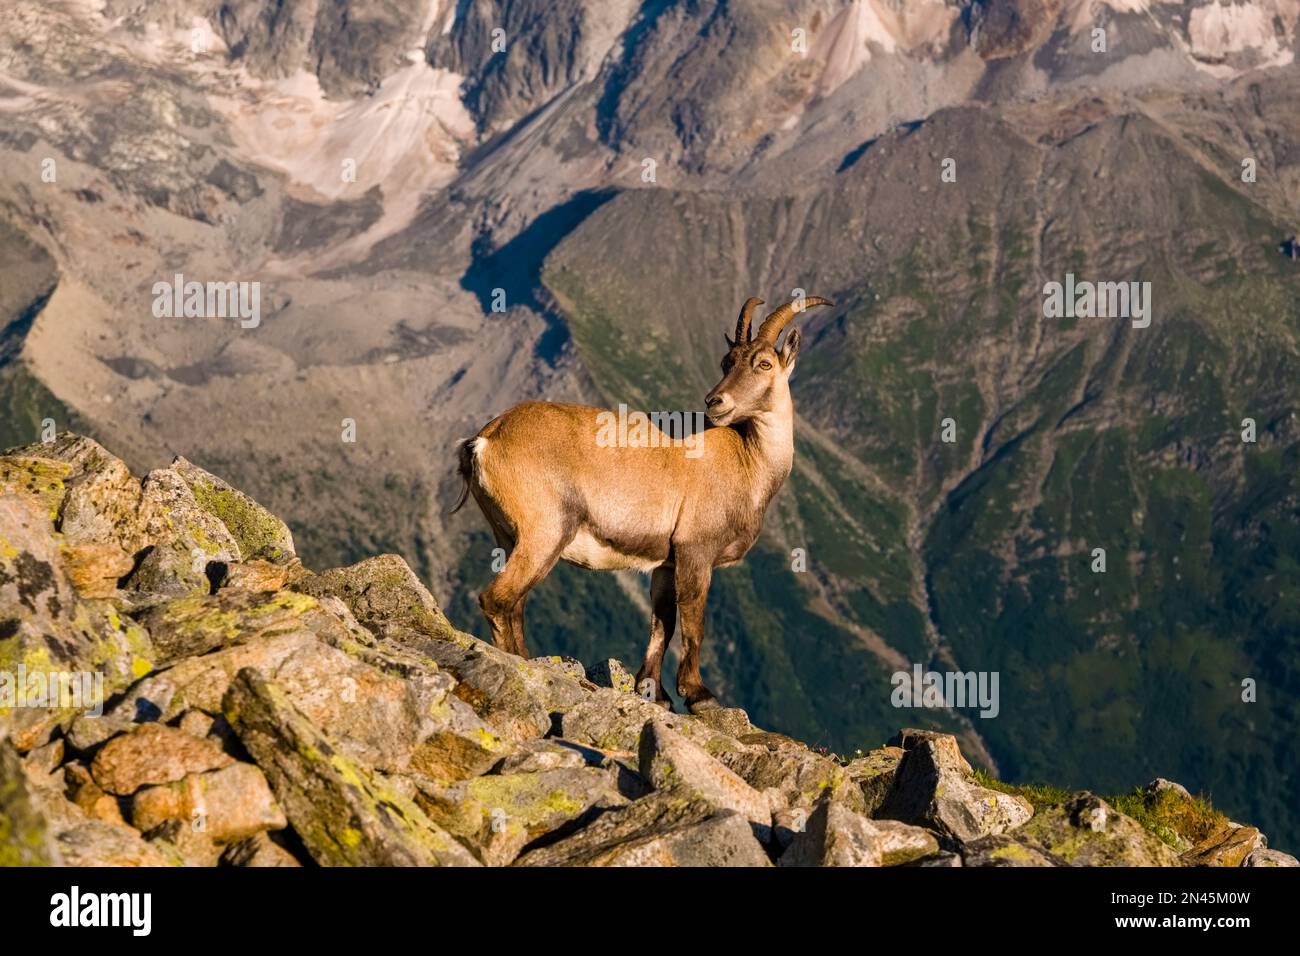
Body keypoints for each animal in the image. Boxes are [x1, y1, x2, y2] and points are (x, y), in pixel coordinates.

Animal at [453, 295, 833, 712]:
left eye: (763, 363)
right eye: (727, 362)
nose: (715, 401)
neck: (747, 461)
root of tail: (485, 439)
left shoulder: (666, 561)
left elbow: (662, 620)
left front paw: (655, 692)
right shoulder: (696, 550)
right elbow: (694, 620)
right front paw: (699, 694)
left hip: (509, 536)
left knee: (515, 602)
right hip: (547, 531)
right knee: (497, 599)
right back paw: (521, 665)